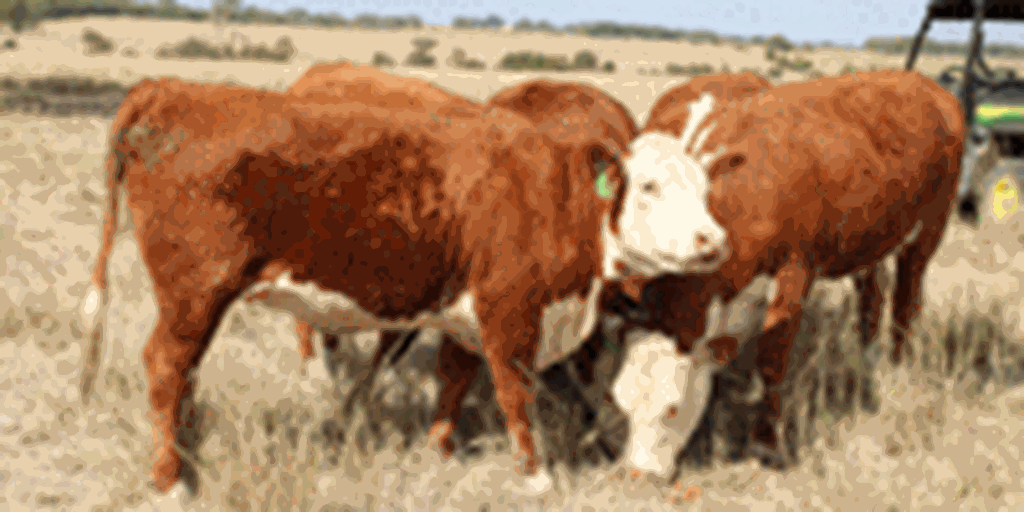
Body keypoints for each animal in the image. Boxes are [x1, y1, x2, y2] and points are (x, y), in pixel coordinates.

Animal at [79, 75, 679, 495]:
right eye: (647, 188)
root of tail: (171, 89)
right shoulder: (509, 313)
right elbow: (513, 392)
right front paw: (536, 478)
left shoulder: (464, 313)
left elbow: (454, 379)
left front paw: (438, 451)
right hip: (196, 293)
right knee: (167, 364)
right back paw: (170, 479)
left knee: (185, 370)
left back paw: (187, 442)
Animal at [602, 70, 964, 478]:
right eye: (620, 401)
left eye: (672, 408)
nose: (637, 475)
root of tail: (926, 85)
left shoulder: (794, 272)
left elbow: (772, 365)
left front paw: (767, 445)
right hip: (872, 243)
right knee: (872, 299)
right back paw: (866, 362)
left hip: (928, 232)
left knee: (905, 303)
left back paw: (896, 370)